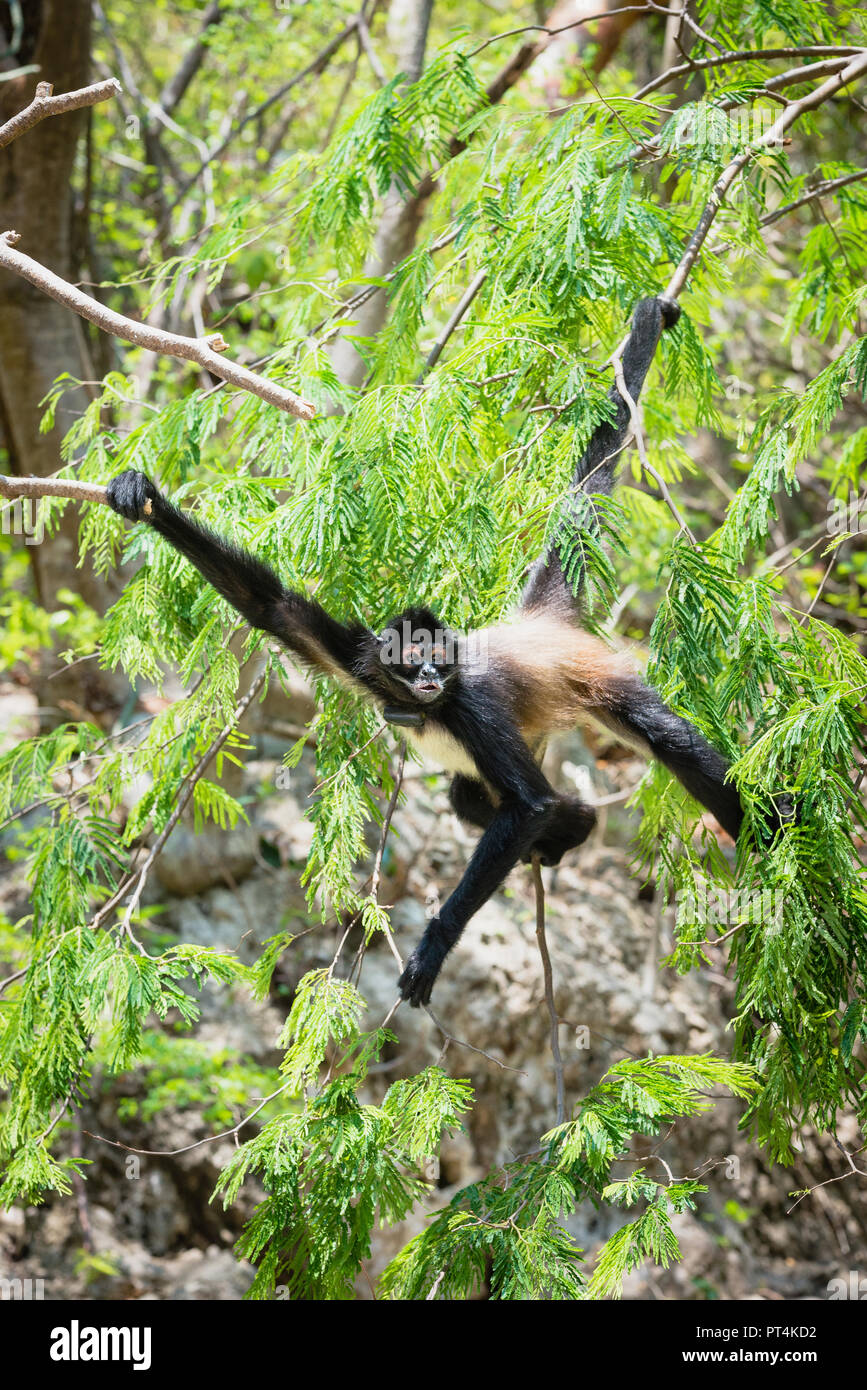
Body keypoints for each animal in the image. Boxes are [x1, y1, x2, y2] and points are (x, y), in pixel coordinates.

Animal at [106, 296, 755, 1009]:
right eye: (410, 655)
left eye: (438, 658)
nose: (424, 678)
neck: (426, 704)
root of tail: (538, 623)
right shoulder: (360, 655)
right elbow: (270, 605)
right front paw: (145, 498)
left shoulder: (471, 705)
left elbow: (528, 807)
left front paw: (434, 947)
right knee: (472, 799)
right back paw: (577, 825)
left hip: (602, 682)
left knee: (670, 749)